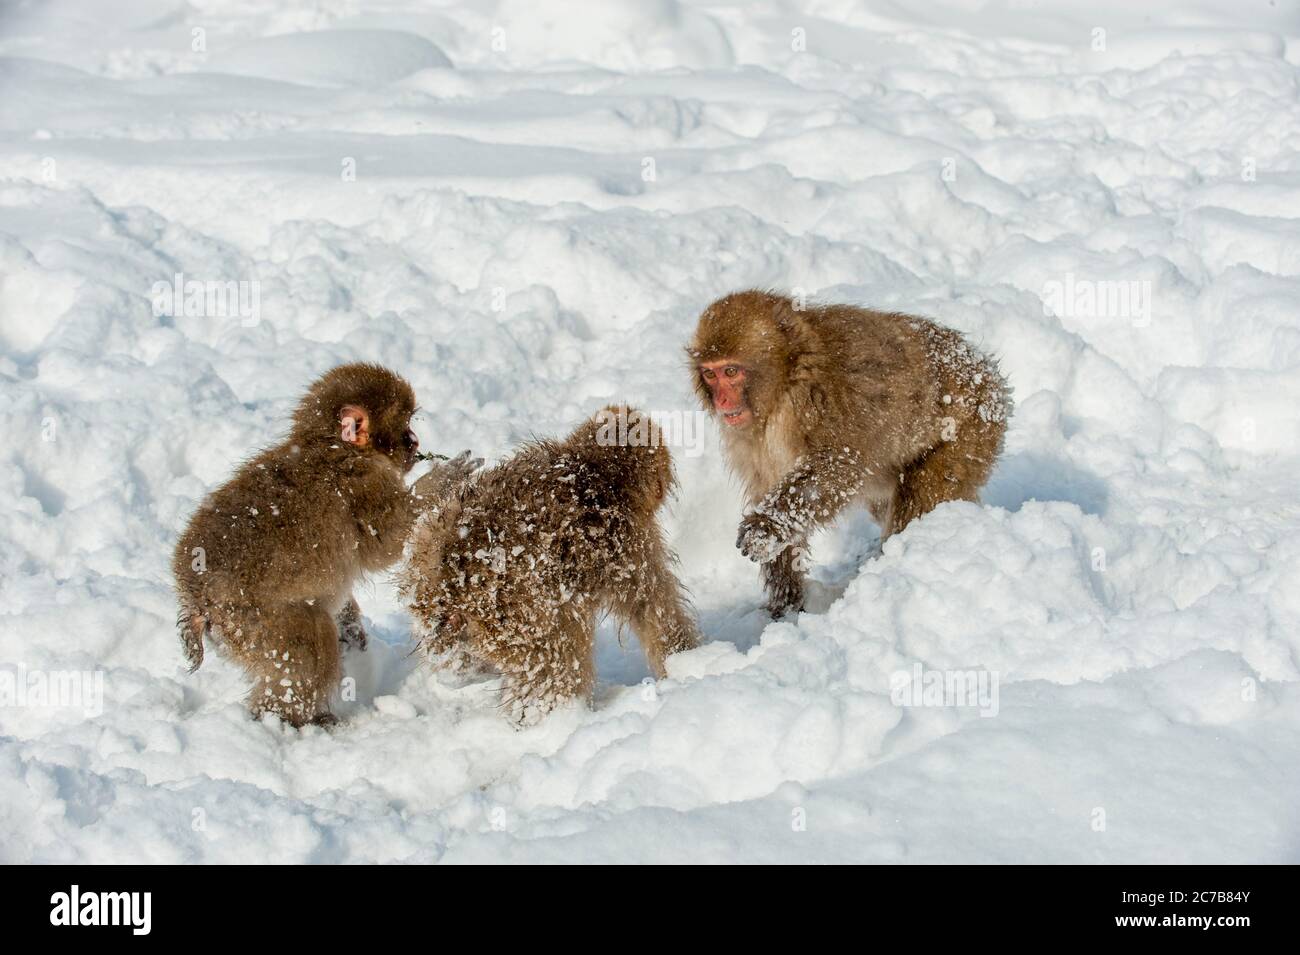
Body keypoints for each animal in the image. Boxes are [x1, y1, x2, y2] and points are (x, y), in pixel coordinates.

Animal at [172, 362, 478, 727]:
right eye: (404, 426)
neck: (331, 445)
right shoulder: (366, 484)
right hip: (255, 619)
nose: (415, 441)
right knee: (306, 649)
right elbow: (385, 544)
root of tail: (196, 600)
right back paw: (292, 720)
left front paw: (351, 622)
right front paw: (443, 478)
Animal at [399, 406, 700, 723]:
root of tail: (448, 571)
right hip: (521, 611)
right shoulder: (630, 548)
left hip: (426, 578)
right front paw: (686, 659)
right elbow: (654, 610)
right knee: (555, 667)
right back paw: (551, 720)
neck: (592, 472)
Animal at [689, 290, 1011, 618]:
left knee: (921, 502)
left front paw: (766, 528)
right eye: (710, 374)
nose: (722, 400)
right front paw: (785, 605)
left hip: (971, 428)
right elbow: (769, 487)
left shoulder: (826, 397)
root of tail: (983, 367)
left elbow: (839, 466)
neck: (786, 380)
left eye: (731, 371)